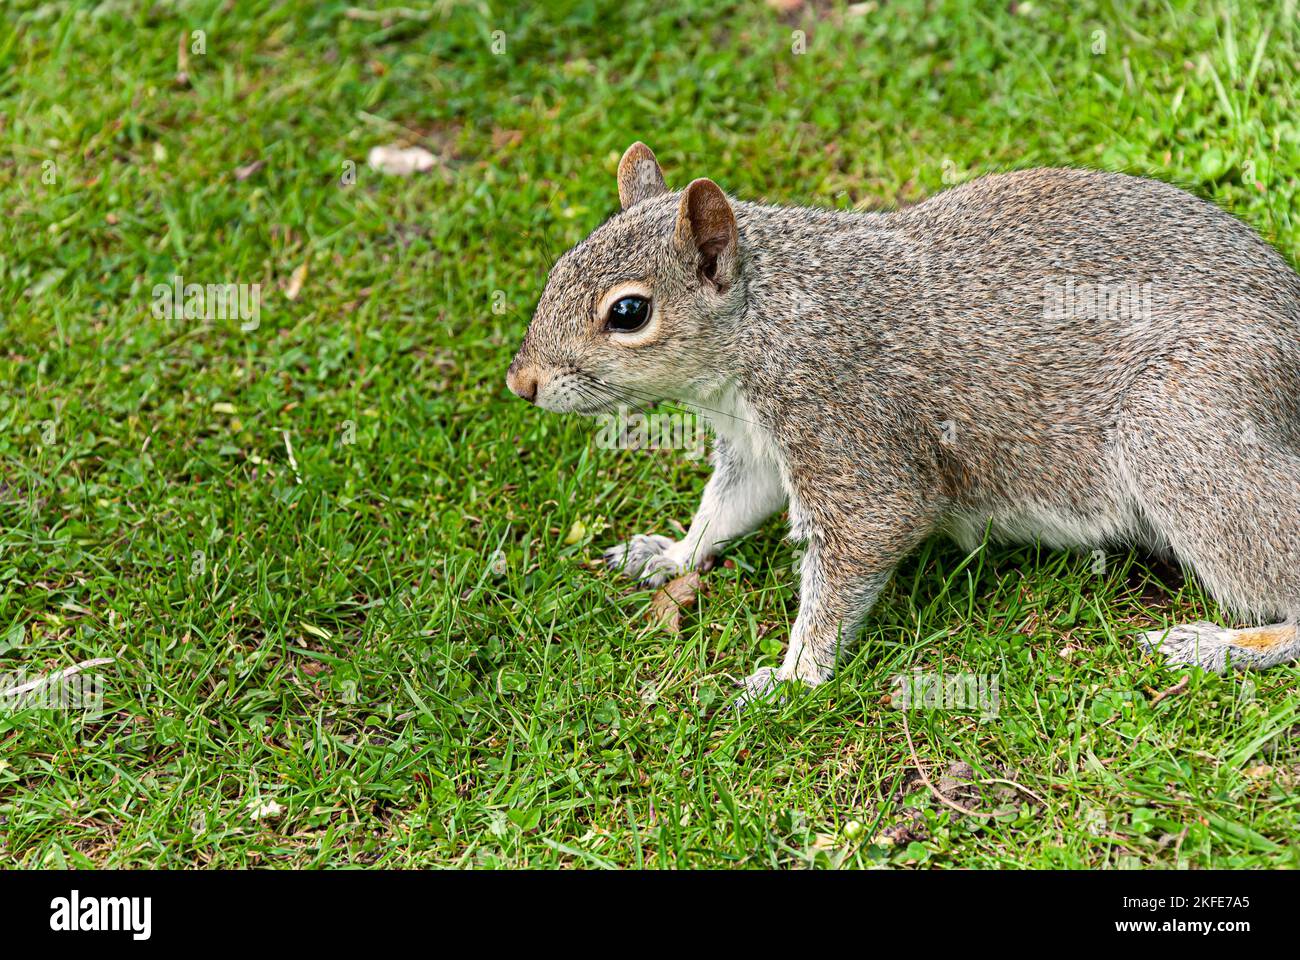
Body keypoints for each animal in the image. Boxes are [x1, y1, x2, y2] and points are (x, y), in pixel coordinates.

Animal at [507, 141, 1300, 706]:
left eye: (628, 312)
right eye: (559, 266)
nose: (522, 382)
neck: (763, 320)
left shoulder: (843, 420)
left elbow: (870, 530)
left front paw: (793, 680)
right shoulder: (759, 448)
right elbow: (727, 509)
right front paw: (670, 554)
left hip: (1181, 435)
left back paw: (1221, 646)